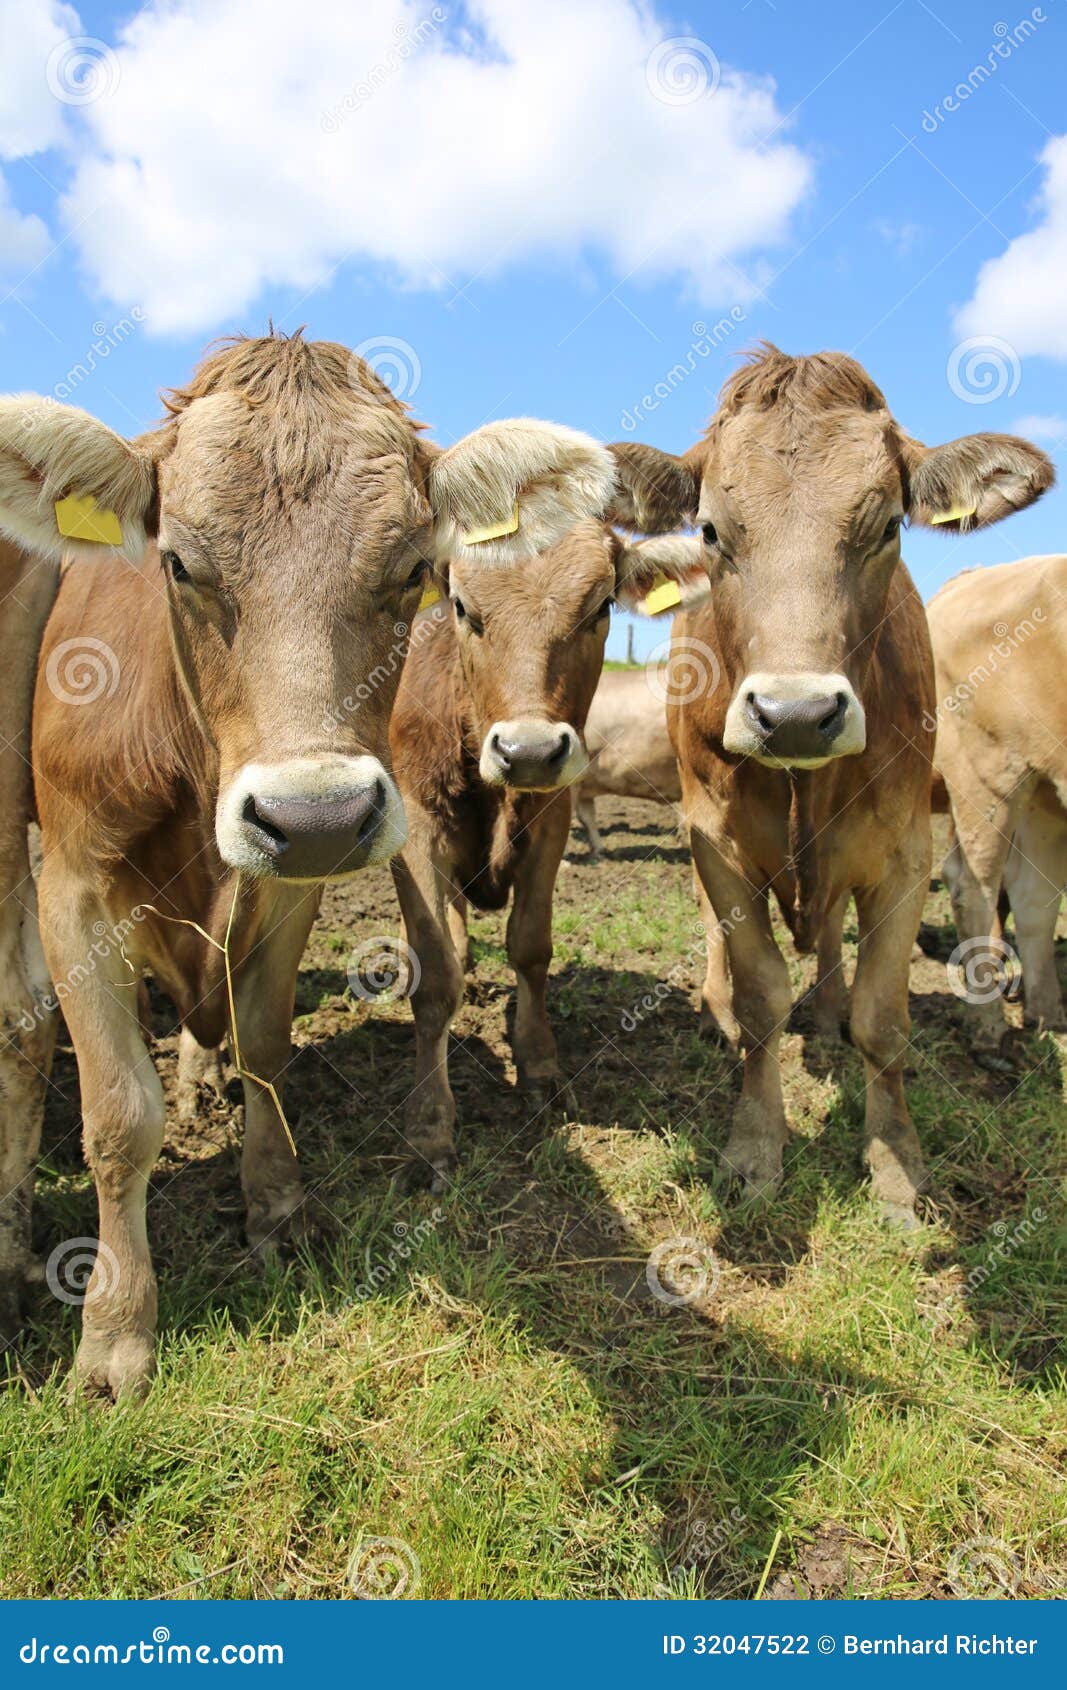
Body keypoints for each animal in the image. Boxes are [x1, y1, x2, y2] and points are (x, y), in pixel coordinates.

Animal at [0, 332, 619, 1396]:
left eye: (412, 566)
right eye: (176, 562)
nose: (316, 814)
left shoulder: (293, 891)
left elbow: (265, 1046)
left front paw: (277, 1210)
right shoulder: (72, 893)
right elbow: (119, 1116)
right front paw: (115, 1334)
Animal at [604, 345, 1053, 1222]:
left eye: (885, 528)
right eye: (711, 531)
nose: (795, 714)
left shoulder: (905, 851)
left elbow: (883, 1018)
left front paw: (895, 1163)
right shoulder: (717, 842)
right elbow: (758, 1000)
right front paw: (754, 1147)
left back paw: (831, 1007)